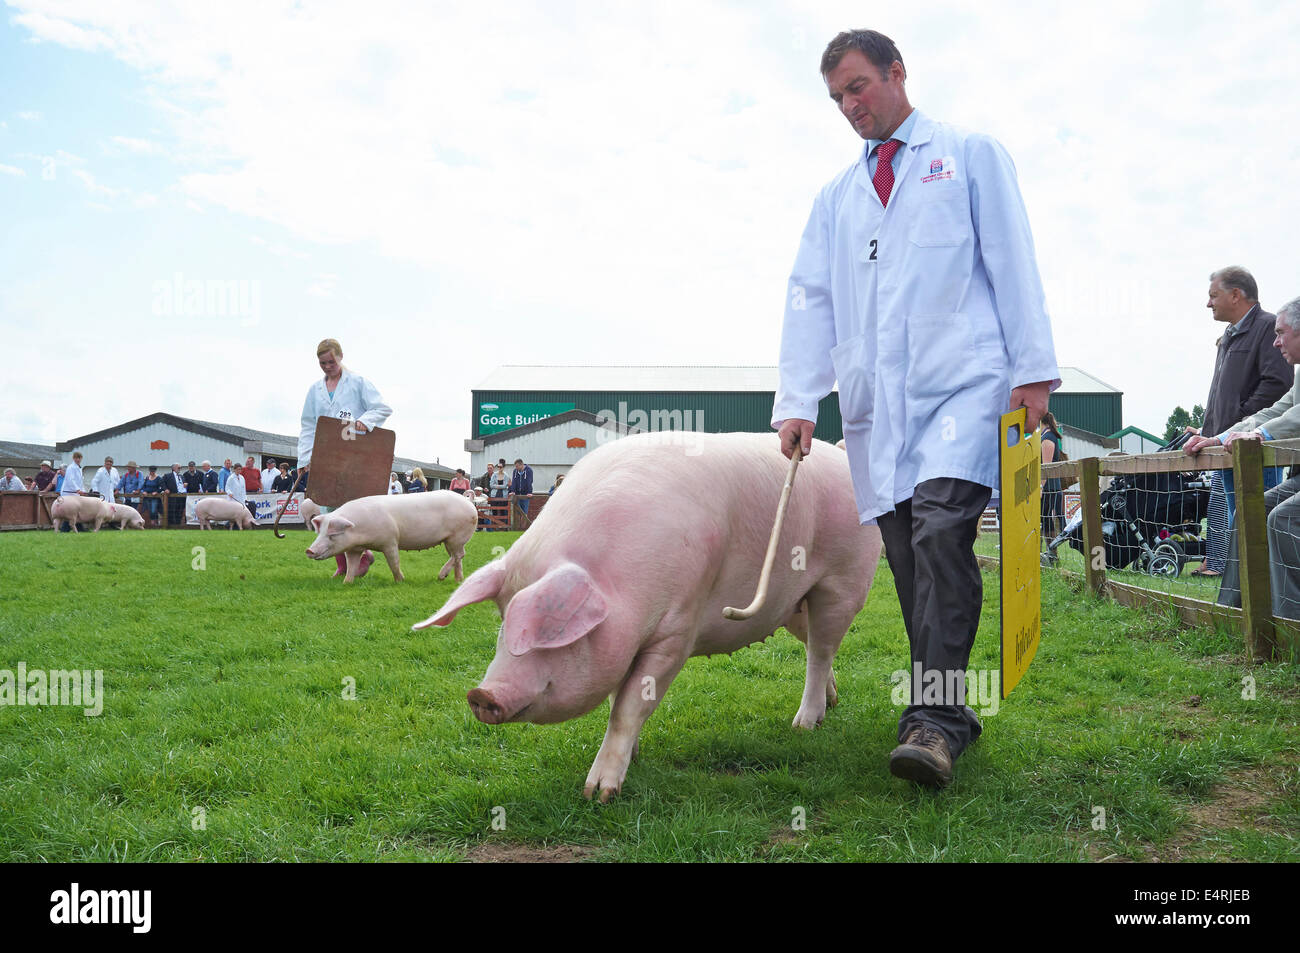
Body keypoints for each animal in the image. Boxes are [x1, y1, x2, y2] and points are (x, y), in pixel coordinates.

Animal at [306, 490, 478, 583]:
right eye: (320, 532)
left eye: (332, 534)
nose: (309, 550)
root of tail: (468, 501)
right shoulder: (353, 549)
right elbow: (351, 565)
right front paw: (346, 583)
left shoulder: (390, 540)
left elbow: (393, 562)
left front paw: (401, 580)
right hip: (449, 540)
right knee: (458, 557)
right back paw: (457, 580)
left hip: (458, 536)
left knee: (460, 554)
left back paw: (441, 577)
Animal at [412, 432, 883, 801]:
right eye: (503, 623)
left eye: (553, 630)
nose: (482, 694)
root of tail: (840, 455)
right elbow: (618, 697)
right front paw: (634, 759)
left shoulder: (677, 627)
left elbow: (629, 704)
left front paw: (599, 793)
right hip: (793, 601)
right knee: (818, 650)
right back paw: (830, 705)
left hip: (842, 583)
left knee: (821, 650)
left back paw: (803, 726)